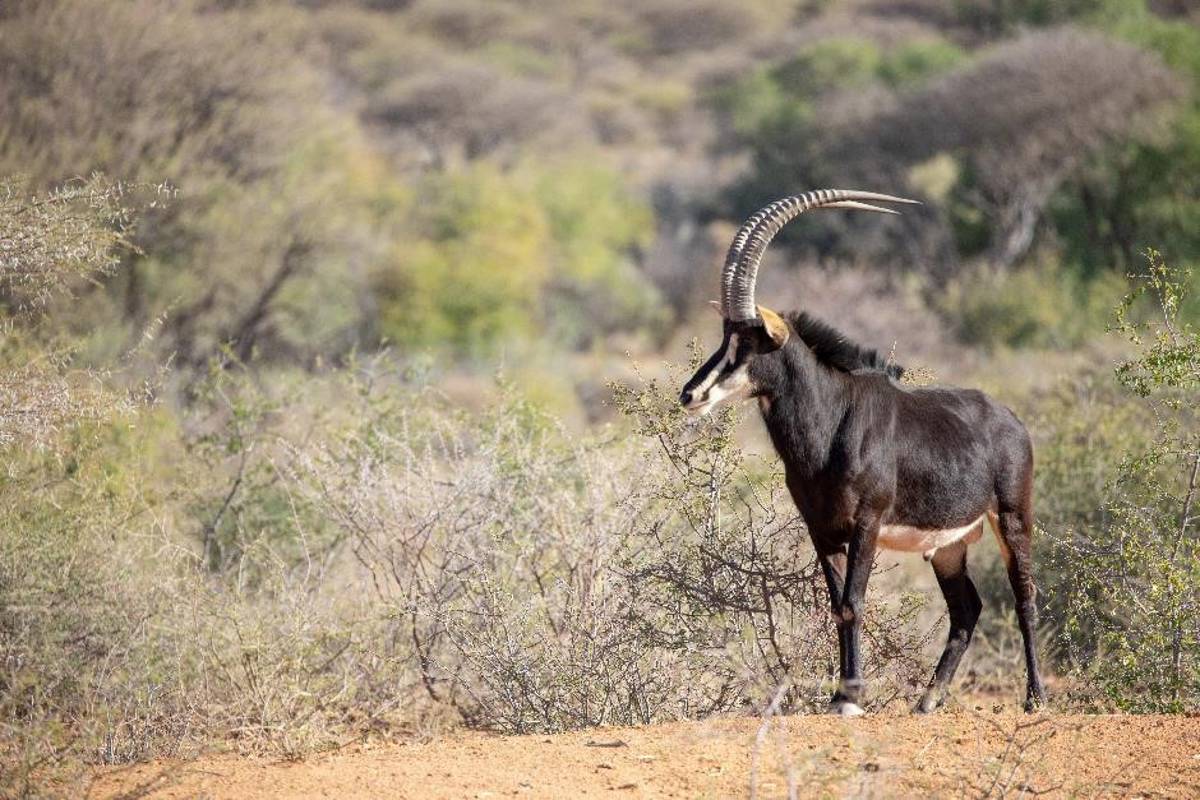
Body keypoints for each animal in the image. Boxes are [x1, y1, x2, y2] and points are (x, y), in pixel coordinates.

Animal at [680, 190, 1047, 715]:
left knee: (1024, 598)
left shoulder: (866, 524)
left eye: (749, 343)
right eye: (724, 337)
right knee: (966, 609)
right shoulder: (822, 530)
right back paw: (927, 701)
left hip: (1012, 518)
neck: (832, 420)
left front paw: (851, 699)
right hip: (947, 546)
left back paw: (1035, 698)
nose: (690, 395)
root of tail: (1012, 421)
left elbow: (855, 602)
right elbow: (838, 606)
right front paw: (840, 693)